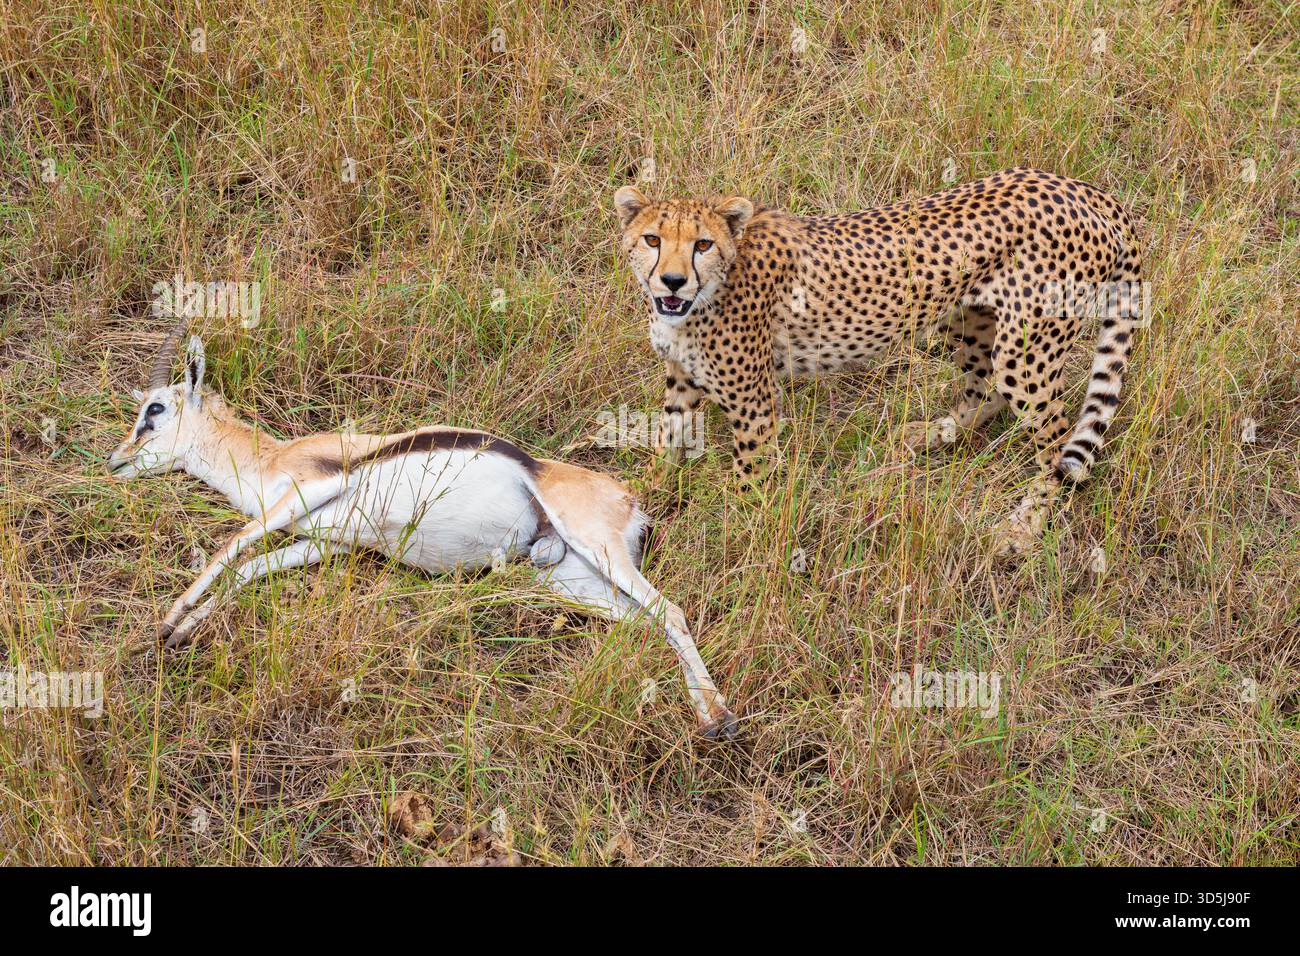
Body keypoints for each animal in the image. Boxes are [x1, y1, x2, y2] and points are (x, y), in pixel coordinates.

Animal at [613, 167, 1143, 553]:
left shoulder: (754, 403)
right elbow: (668, 438)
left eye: (702, 244)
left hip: (1026, 350)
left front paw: (728, 536)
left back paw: (1027, 525)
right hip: (962, 316)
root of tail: (1084, 189)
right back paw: (934, 434)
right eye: (653, 240)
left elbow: (748, 476)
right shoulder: (682, 378)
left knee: (1055, 438)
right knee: (984, 383)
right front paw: (642, 493)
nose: (673, 281)